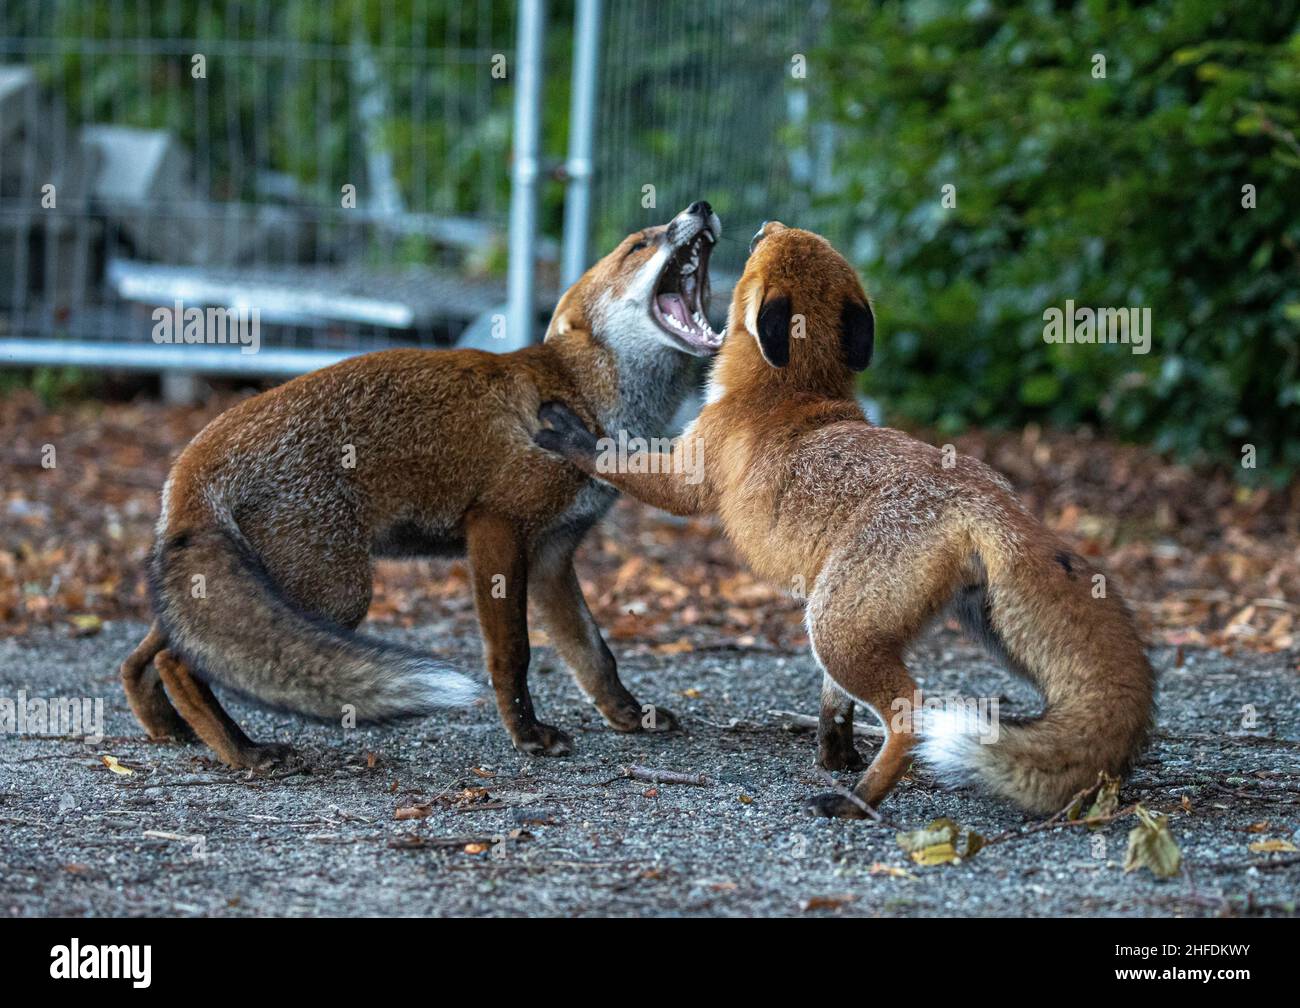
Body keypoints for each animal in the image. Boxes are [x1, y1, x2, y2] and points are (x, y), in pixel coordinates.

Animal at [119, 201, 723, 768]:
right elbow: (514, 652)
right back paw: (242, 751)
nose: (700, 207)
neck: (580, 395)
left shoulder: (553, 552)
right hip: (334, 591)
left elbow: (594, 653)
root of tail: (197, 451)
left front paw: (628, 716)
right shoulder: (498, 525)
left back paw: (169, 728)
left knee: (149, 654)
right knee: (179, 659)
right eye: (639, 244)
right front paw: (527, 734)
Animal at [534, 220, 1156, 817]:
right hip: (972, 628)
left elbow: (615, 459)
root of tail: (990, 495)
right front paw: (833, 752)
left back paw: (857, 801)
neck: (789, 388)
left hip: (834, 623)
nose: (752, 220)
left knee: (910, 714)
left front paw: (571, 436)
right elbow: (834, 702)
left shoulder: (688, 477)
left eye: (757, 242)